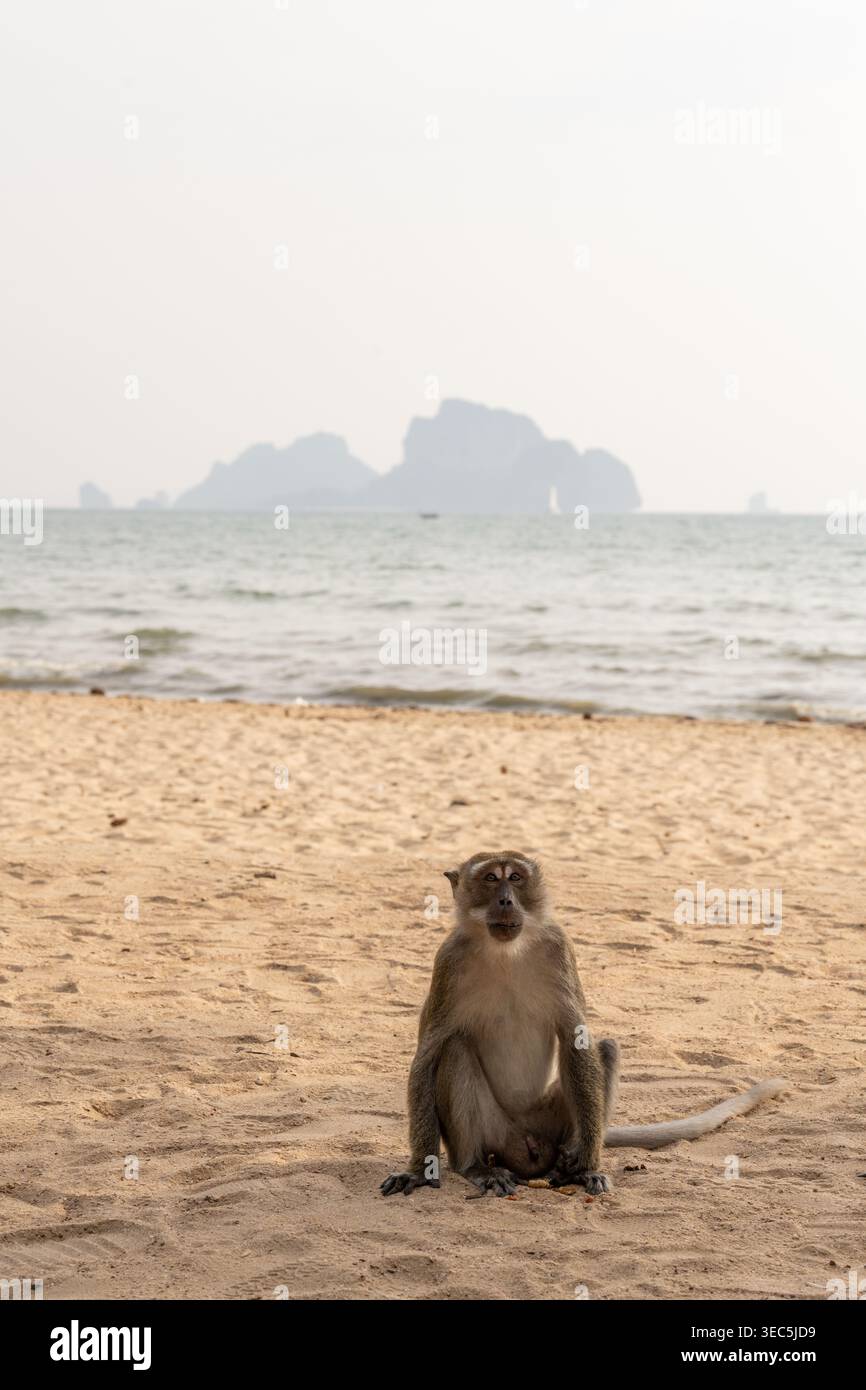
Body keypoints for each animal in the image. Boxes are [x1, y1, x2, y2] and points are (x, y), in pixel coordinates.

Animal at [381, 852, 786, 1198]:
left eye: (515, 878)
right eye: (490, 879)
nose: (506, 901)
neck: (505, 953)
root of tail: (528, 1145)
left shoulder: (558, 948)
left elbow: (577, 1039)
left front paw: (589, 1164)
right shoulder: (448, 963)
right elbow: (428, 1054)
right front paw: (418, 1171)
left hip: (553, 1126)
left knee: (602, 1049)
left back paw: (573, 1165)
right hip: (496, 1131)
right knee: (455, 1050)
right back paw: (476, 1168)